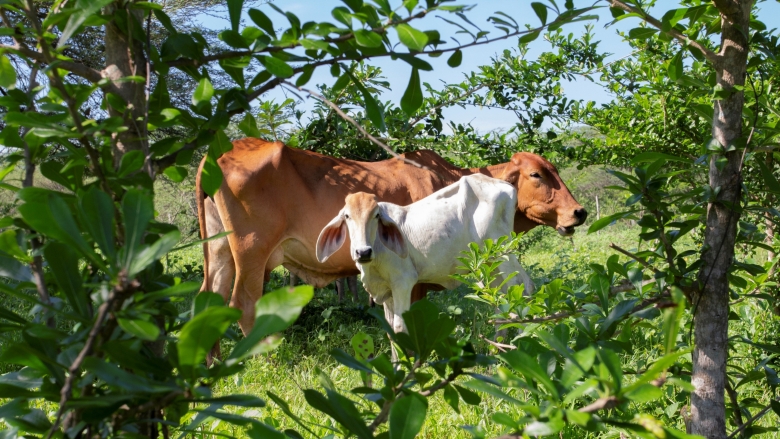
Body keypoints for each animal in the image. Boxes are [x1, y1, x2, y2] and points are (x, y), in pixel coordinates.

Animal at [314, 174, 532, 336]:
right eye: (347, 216)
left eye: (376, 215)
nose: (363, 251)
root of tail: (507, 186)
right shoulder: (386, 291)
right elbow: (390, 329)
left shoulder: (403, 282)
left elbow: (400, 327)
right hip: (489, 267)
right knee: (500, 301)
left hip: (502, 254)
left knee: (522, 288)